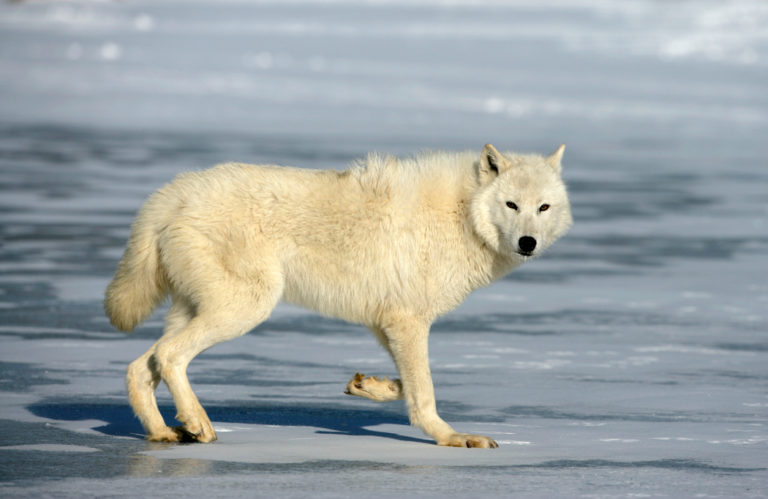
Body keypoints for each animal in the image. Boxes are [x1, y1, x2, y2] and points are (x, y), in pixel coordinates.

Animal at [104, 143, 572, 448]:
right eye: (511, 205)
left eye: (543, 207)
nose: (528, 242)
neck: (461, 215)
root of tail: (171, 195)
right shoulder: (408, 320)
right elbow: (424, 392)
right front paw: (452, 437)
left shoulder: (386, 322)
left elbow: (408, 386)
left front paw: (369, 386)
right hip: (247, 307)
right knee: (169, 356)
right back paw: (198, 424)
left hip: (196, 310)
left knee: (139, 366)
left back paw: (162, 432)